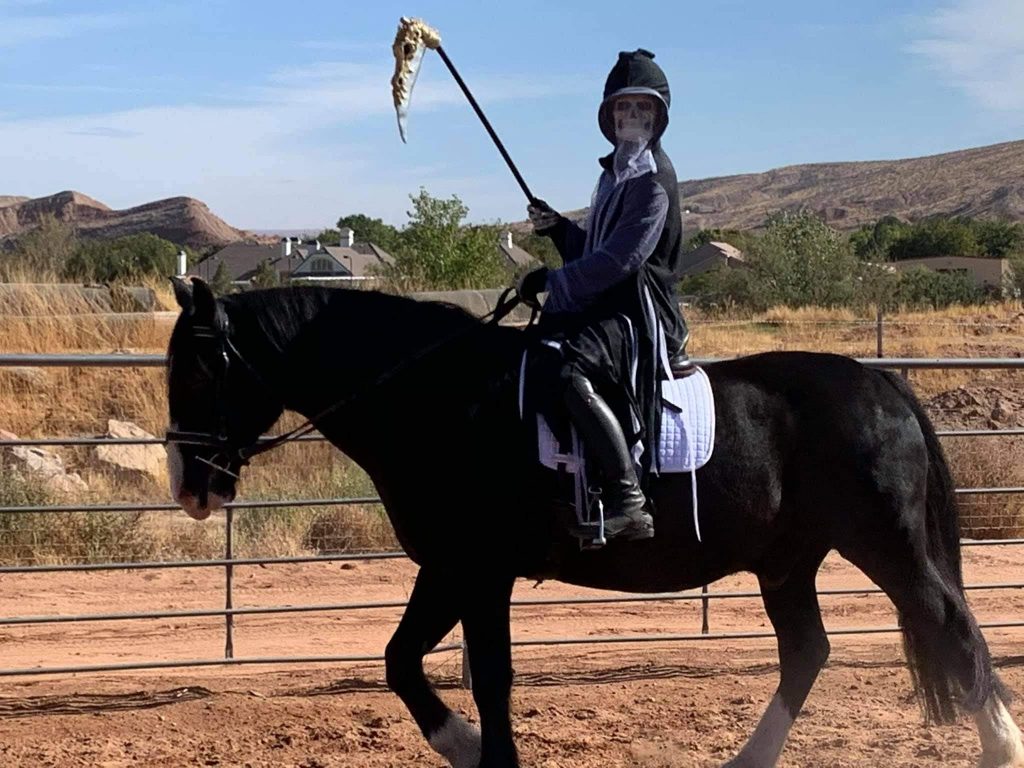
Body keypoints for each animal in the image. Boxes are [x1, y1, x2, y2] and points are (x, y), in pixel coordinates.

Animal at [165, 278, 1024, 768]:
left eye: (199, 369)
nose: (187, 486)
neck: (438, 398)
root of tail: (882, 384)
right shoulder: (447, 568)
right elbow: (401, 662)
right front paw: (466, 749)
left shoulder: (476, 571)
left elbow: (488, 677)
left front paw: (486, 754)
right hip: (789, 561)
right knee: (809, 652)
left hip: (886, 544)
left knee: (954, 626)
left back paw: (1001, 749)